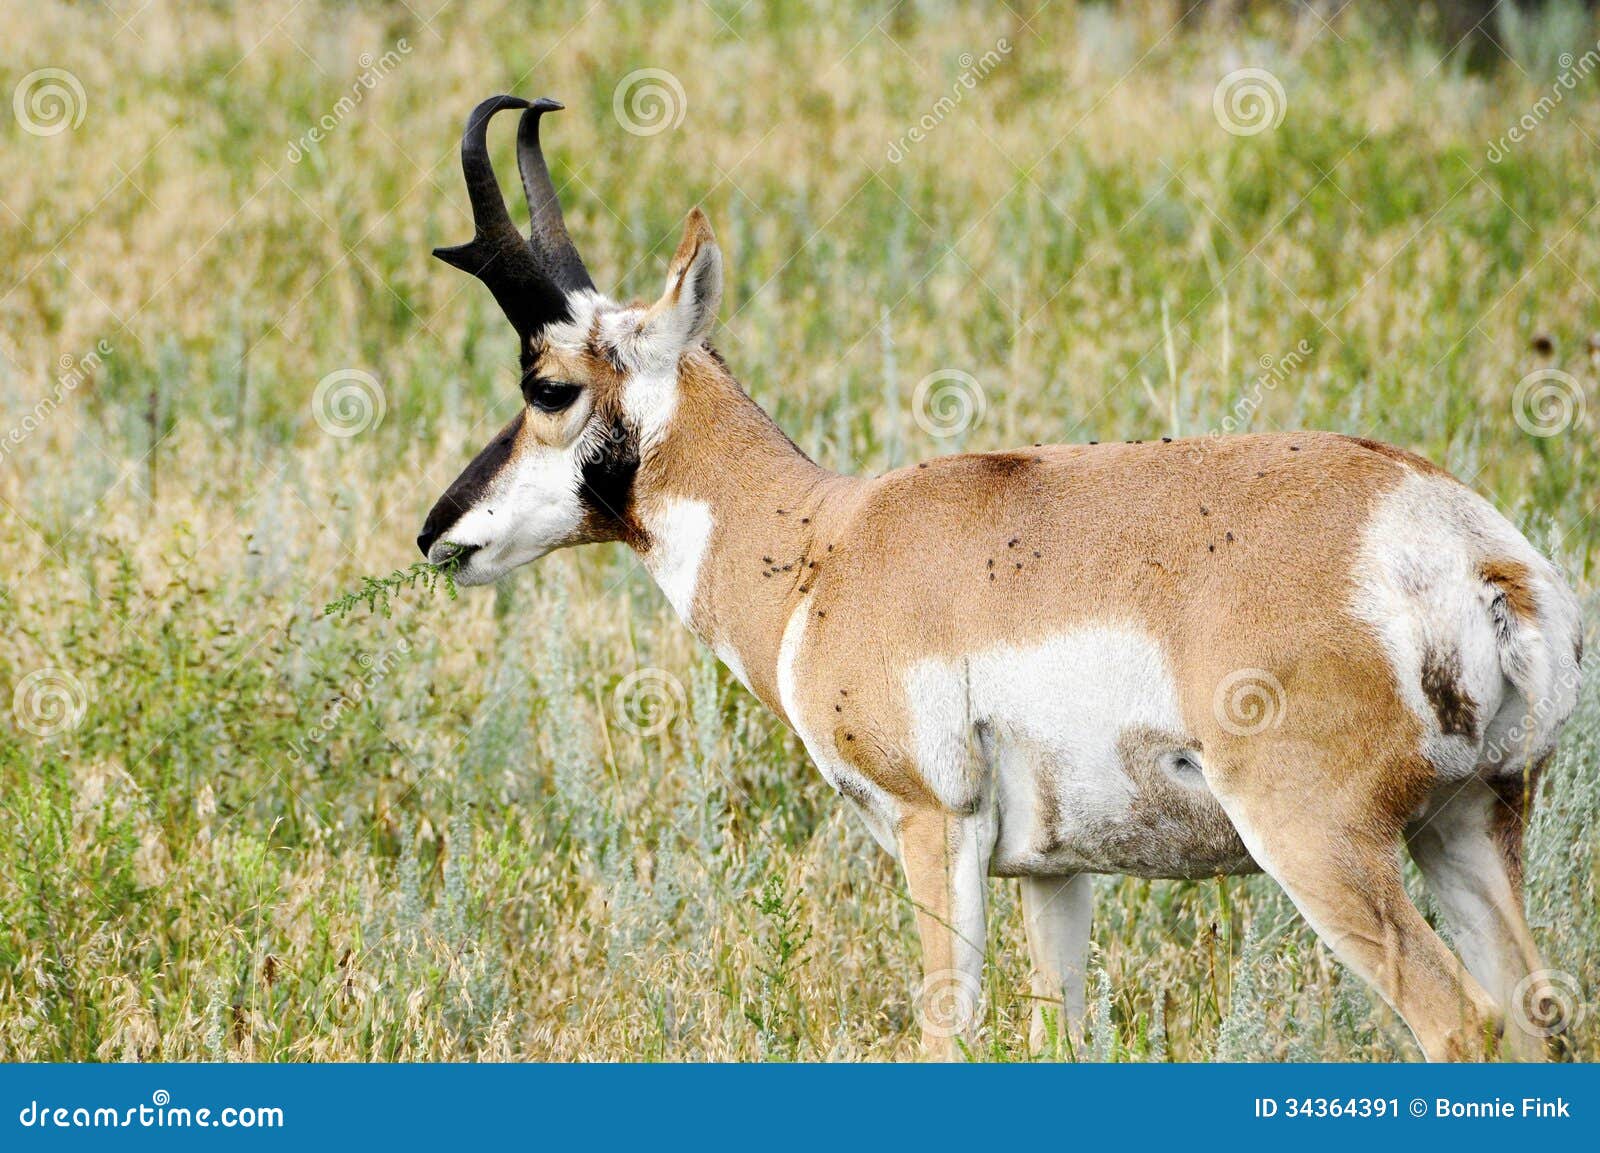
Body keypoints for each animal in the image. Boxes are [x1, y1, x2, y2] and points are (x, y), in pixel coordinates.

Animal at [418, 94, 1584, 1061]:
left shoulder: (933, 825)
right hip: (1465, 828)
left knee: (1461, 1025)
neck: (826, 543)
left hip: (1322, 843)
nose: (438, 532)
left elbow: (948, 1036)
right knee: (1537, 1016)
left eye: (548, 385)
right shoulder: (1056, 875)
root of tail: (1468, 544)